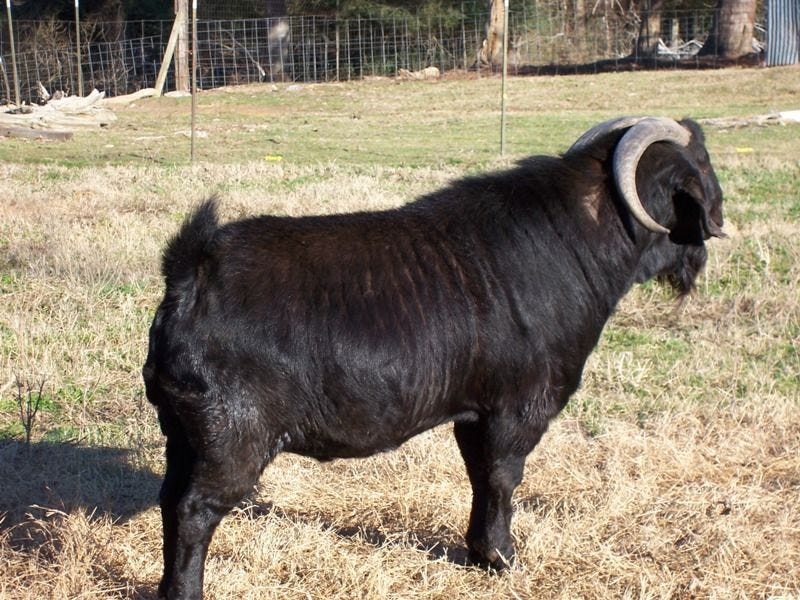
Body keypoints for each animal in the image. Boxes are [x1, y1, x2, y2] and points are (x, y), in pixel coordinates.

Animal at [143, 116, 724, 599]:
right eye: (701, 167)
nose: (718, 222)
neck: (574, 236)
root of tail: (193, 272)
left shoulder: (474, 412)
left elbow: (479, 476)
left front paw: (479, 553)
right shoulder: (518, 409)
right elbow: (503, 479)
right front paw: (502, 559)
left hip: (183, 435)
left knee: (171, 501)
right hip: (232, 439)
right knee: (195, 511)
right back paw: (186, 593)